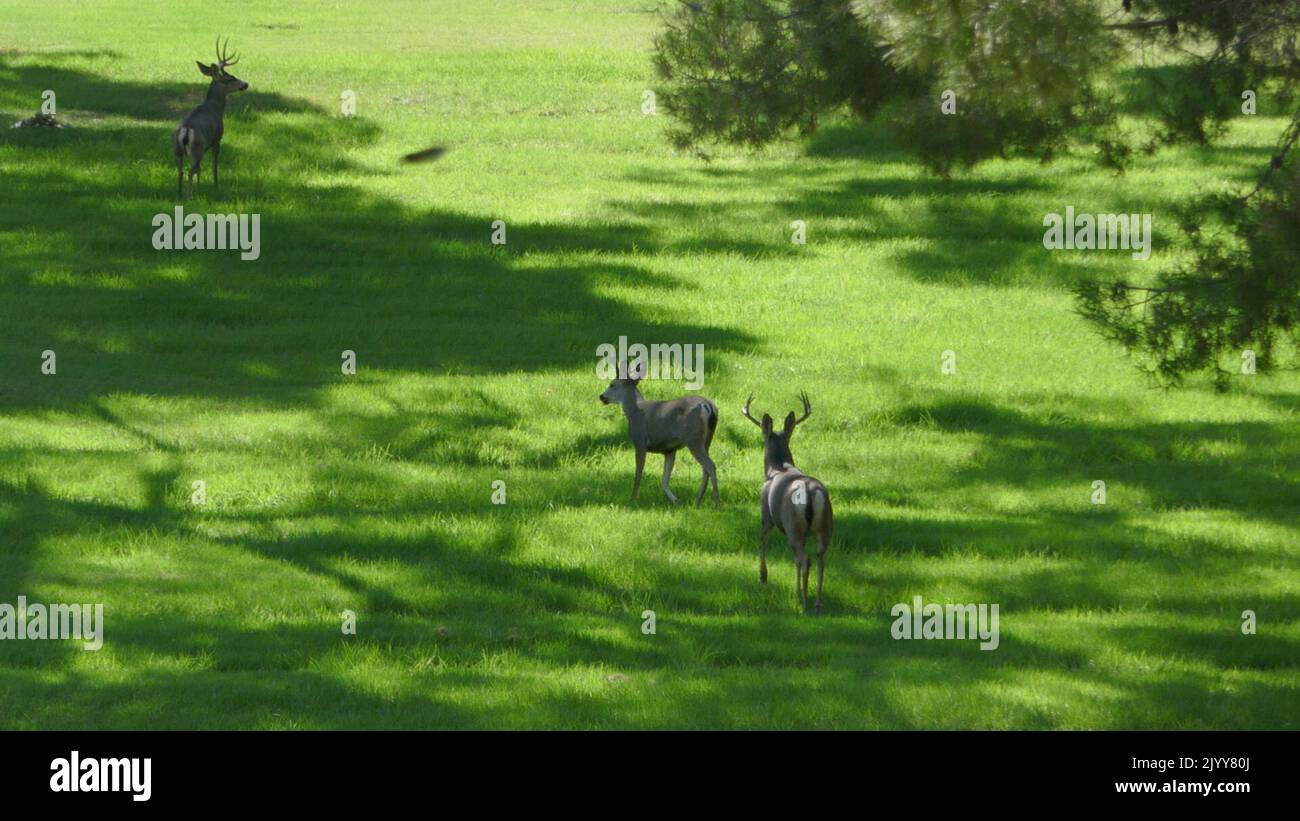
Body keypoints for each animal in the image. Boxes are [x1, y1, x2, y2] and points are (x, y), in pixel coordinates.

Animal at [173, 38, 248, 198]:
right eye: (230, 78)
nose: (245, 84)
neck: (215, 108)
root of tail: (186, 131)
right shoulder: (217, 138)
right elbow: (214, 166)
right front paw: (216, 187)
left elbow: (201, 171)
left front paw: (200, 187)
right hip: (197, 149)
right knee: (190, 171)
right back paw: (190, 196)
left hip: (177, 150)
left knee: (182, 171)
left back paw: (180, 193)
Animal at [599, 361, 720, 506]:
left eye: (612, 385)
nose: (601, 397)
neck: (633, 412)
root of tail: (707, 406)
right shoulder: (669, 450)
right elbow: (664, 481)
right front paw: (676, 501)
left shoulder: (640, 441)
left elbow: (638, 474)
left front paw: (632, 500)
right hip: (707, 439)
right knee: (705, 468)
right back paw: (697, 500)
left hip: (693, 439)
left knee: (710, 466)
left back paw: (716, 502)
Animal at [741, 392, 833, 612]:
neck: (778, 468)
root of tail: (810, 491)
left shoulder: (766, 514)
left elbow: (761, 539)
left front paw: (763, 576)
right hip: (825, 525)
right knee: (820, 558)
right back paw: (817, 601)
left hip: (793, 524)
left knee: (804, 559)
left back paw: (803, 600)